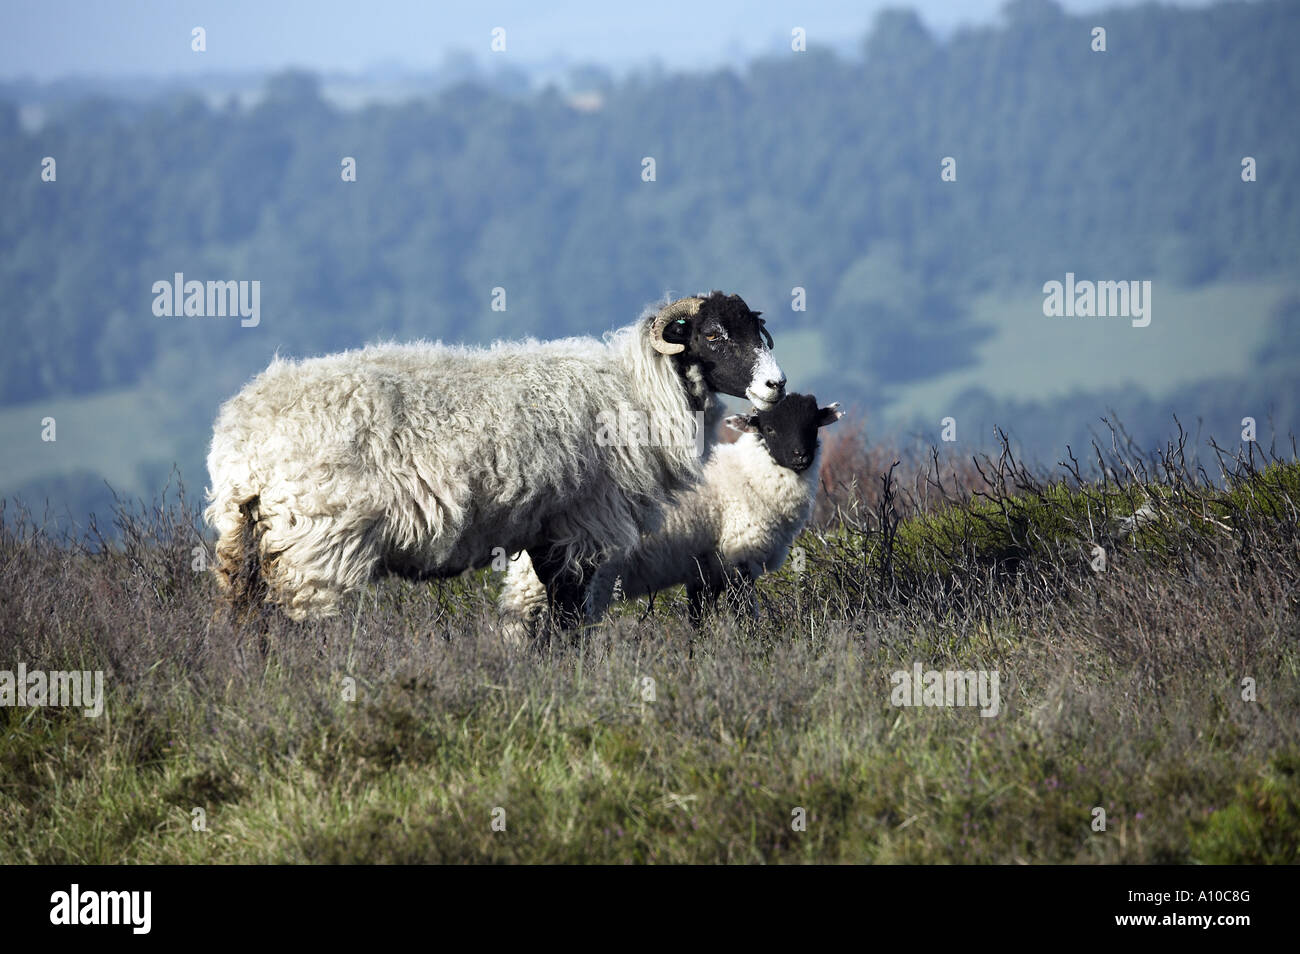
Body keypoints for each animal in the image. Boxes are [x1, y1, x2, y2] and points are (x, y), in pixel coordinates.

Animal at [204, 291, 786, 622]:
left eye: (758, 331)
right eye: (713, 334)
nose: (776, 386)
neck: (637, 391)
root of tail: (240, 438)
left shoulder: (549, 533)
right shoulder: (584, 525)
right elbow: (567, 617)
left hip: (247, 537)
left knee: (245, 620)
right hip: (317, 543)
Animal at [500, 393, 843, 631]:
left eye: (812, 426)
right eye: (769, 428)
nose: (800, 457)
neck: (749, 473)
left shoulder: (704, 571)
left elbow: (698, 619)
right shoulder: (738, 559)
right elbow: (745, 614)